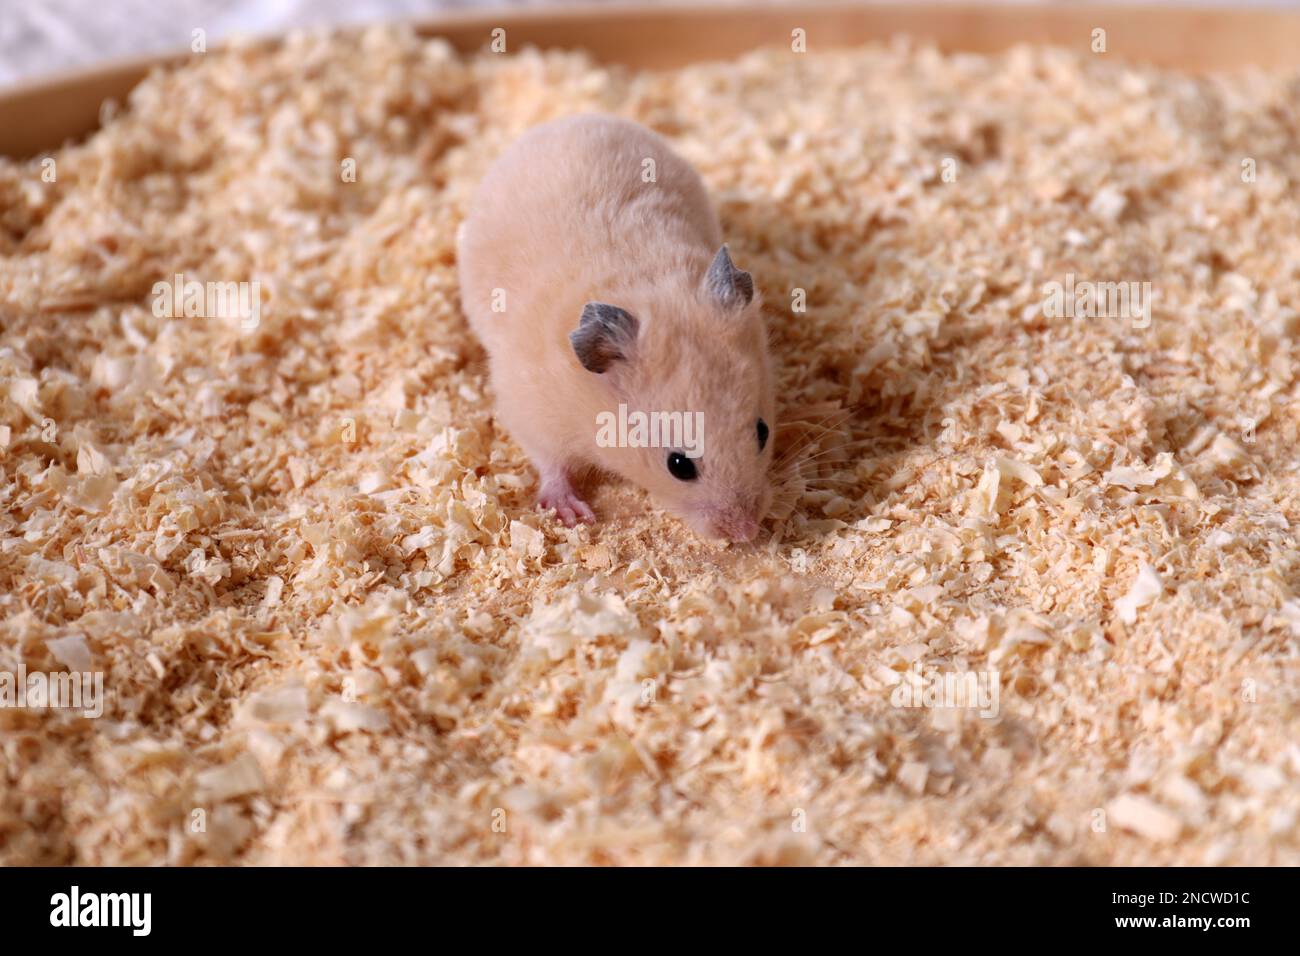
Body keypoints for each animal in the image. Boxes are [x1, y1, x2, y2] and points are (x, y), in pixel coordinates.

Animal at [457, 114, 775, 543]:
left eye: (763, 431)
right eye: (679, 465)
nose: (745, 531)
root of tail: (569, 120)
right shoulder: (531, 412)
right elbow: (550, 462)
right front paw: (573, 515)